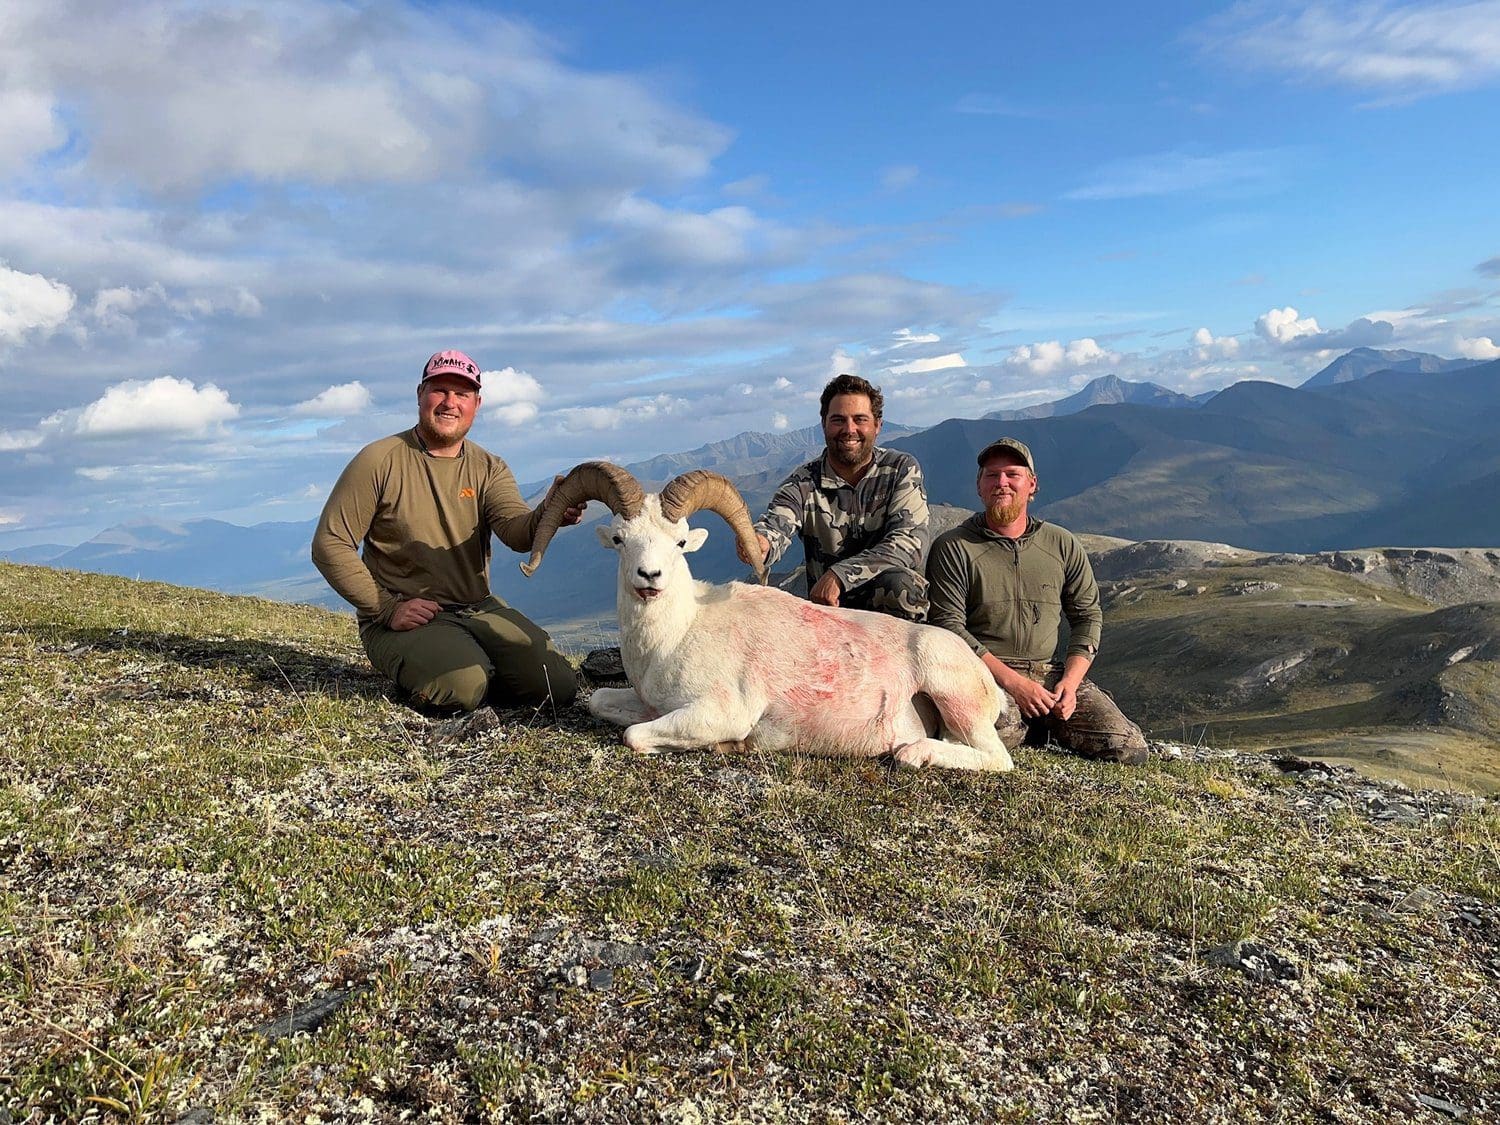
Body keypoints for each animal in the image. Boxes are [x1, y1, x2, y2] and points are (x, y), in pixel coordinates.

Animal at [520, 462, 1014, 772]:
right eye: (621, 539)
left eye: (680, 542)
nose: (650, 577)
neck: (677, 637)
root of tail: (986, 681)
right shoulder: (648, 704)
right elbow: (603, 704)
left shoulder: (721, 711)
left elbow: (636, 737)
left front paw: (733, 747)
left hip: (954, 695)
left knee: (997, 759)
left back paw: (912, 753)